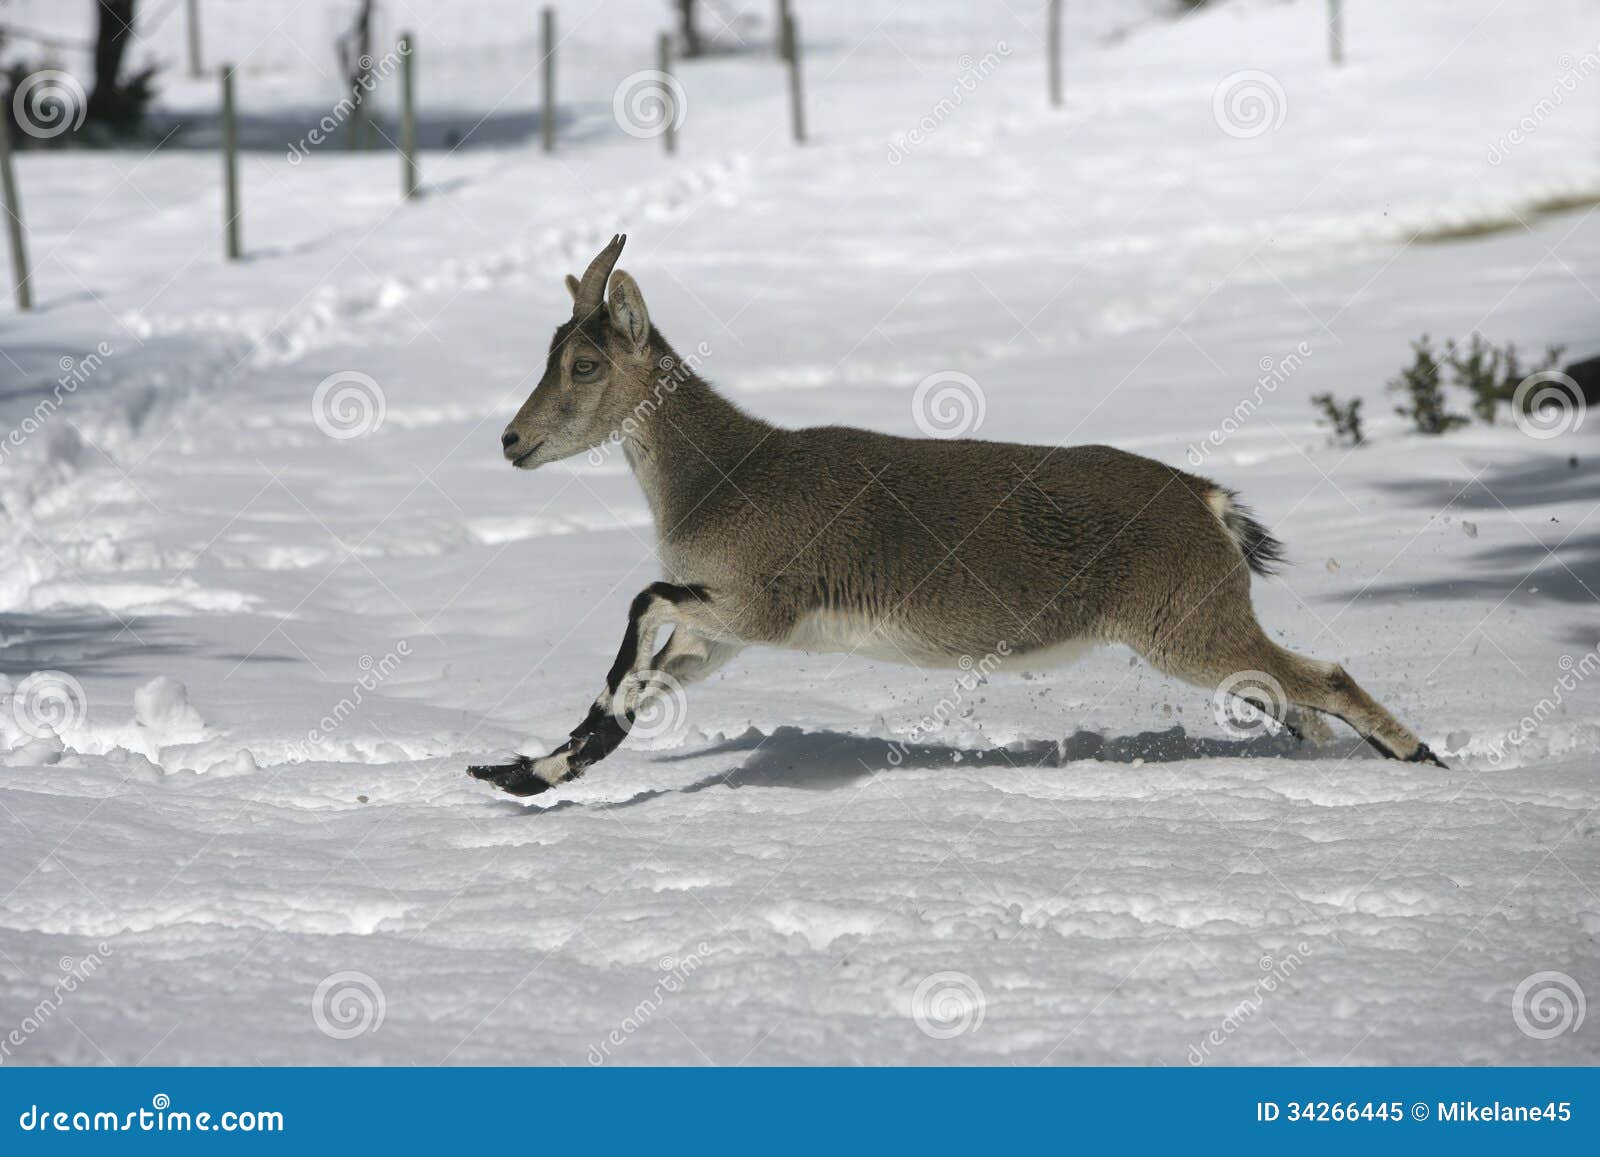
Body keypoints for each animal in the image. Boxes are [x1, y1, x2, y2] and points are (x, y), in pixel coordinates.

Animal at [469, 235, 1445, 797]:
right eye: (550, 351)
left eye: (586, 363)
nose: (512, 440)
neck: (722, 474)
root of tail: (1203, 500)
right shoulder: (723, 632)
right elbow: (646, 683)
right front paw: (521, 772)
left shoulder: (760, 603)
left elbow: (641, 608)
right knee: (1292, 696)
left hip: (1186, 625)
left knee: (1325, 676)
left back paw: (1423, 762)